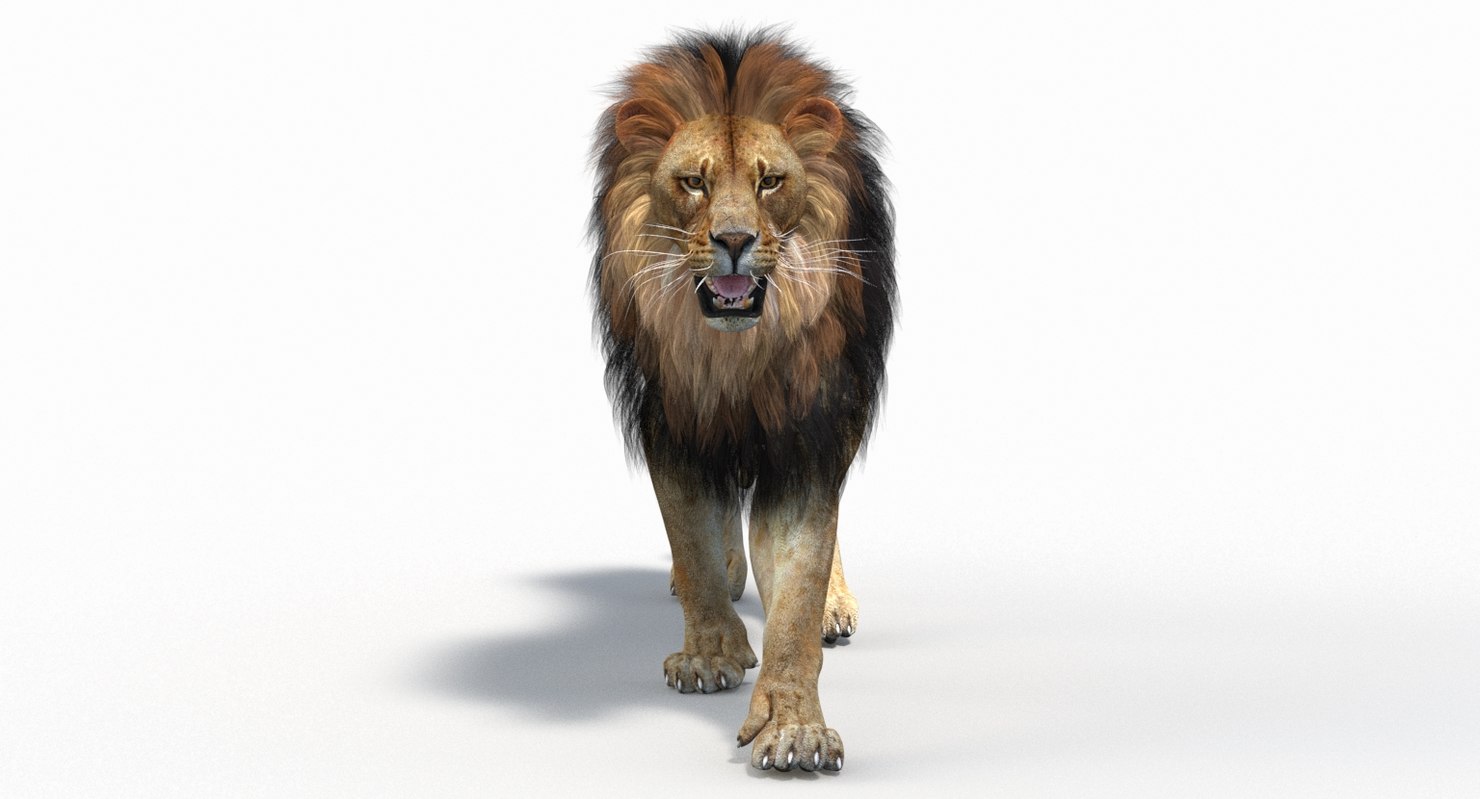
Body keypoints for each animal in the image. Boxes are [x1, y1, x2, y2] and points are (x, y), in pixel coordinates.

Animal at [589, 29, 895, 773]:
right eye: (693, 181)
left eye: (770, 181)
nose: (733, 241)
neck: (733, 360)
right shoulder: (671, 419)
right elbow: (691, 535)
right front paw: (710, 652)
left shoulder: (809, 434)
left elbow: (799, 578)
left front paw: (795, 727)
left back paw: (835, 605)